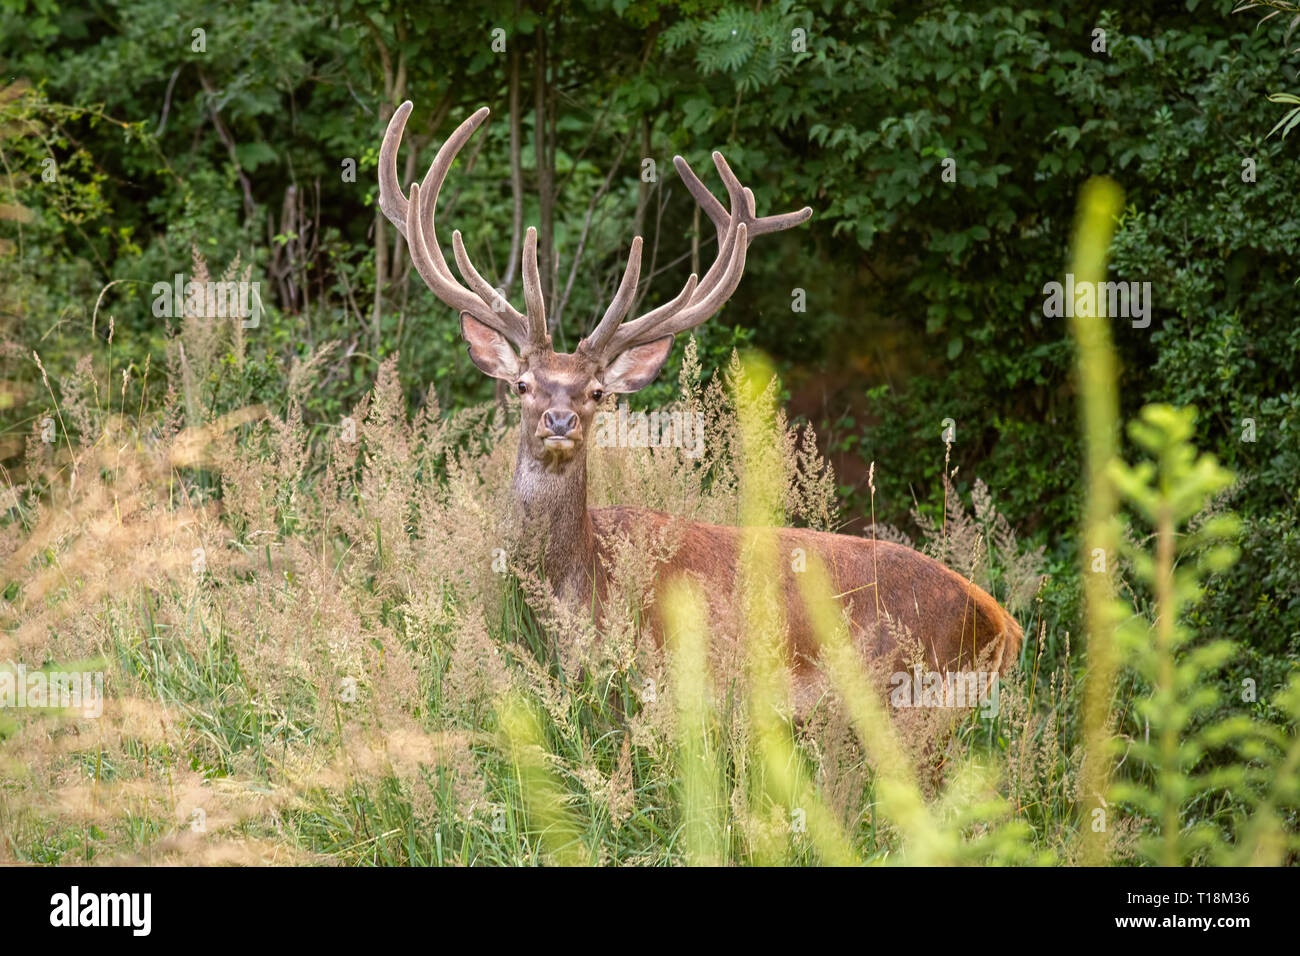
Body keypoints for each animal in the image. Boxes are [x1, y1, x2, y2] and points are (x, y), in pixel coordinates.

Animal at [378, 101, 1022, 713]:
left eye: (597, 393)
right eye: (522, 384)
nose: (559, 420)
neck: (577, 593)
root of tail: (1005, 624)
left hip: (909, 696)